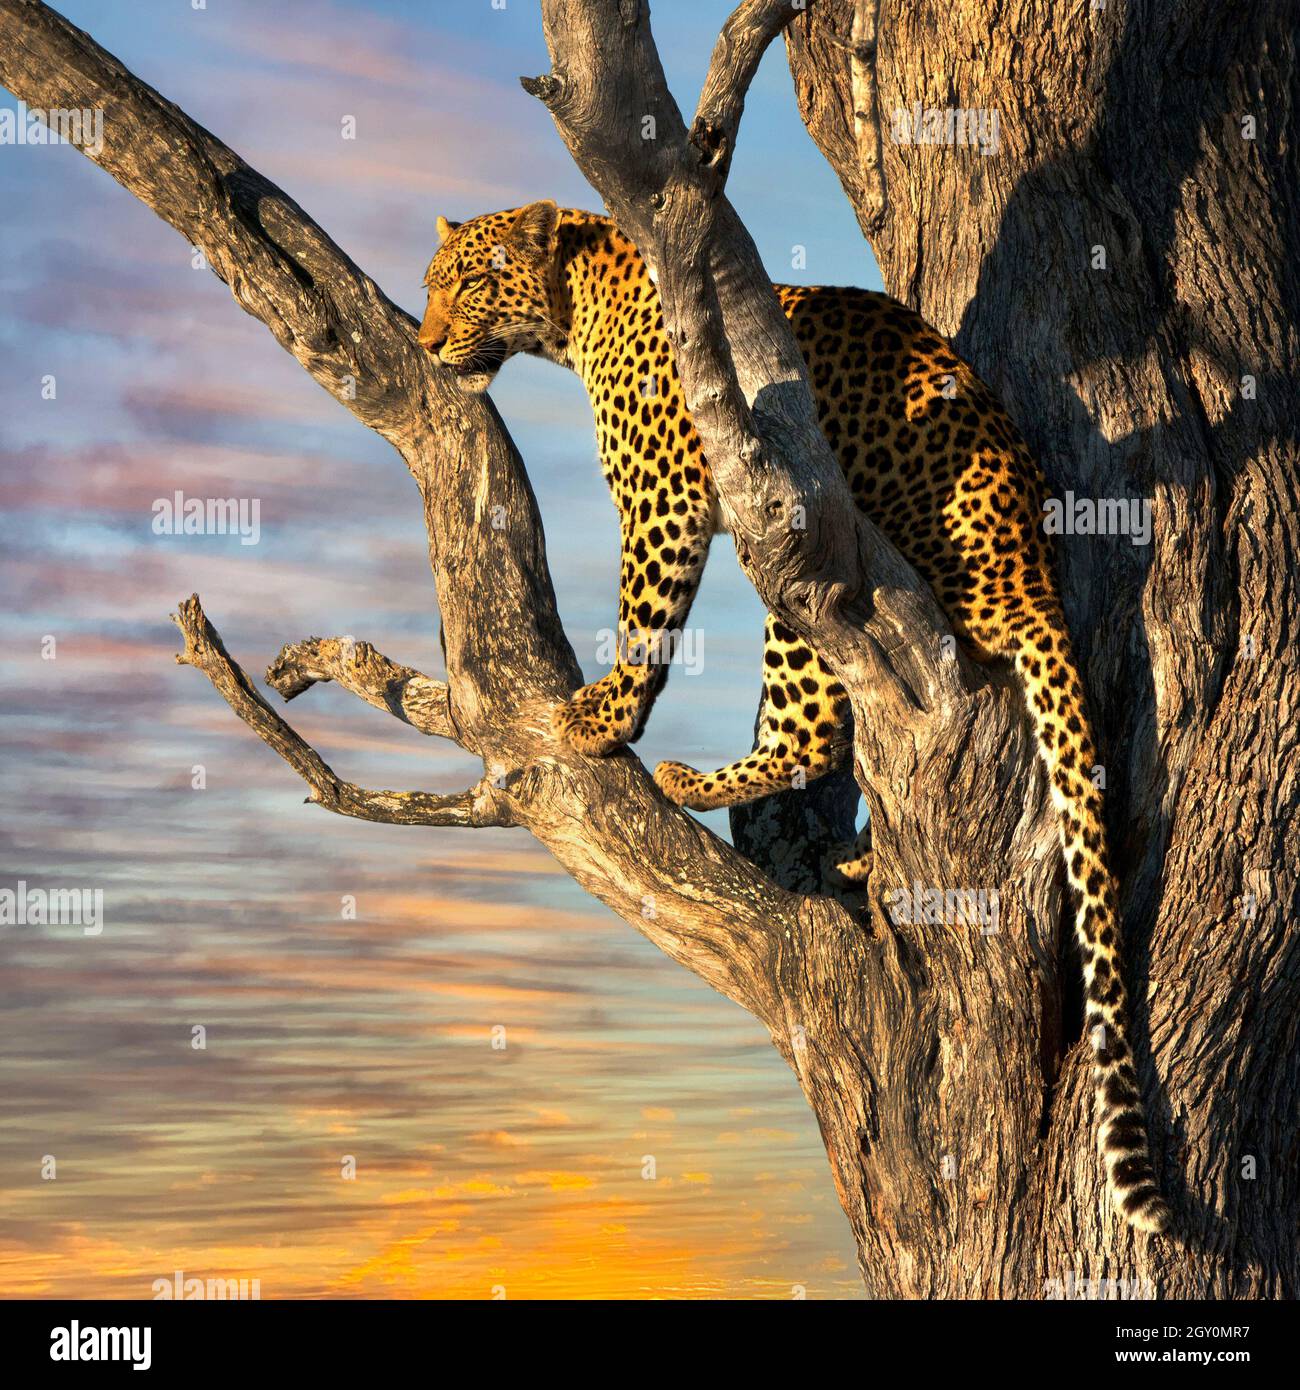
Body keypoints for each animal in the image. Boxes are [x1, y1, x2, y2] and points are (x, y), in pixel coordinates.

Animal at [418, 200, 1172, 1235]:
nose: (426, 342)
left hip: (809, 574)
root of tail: (1033, 581)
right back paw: (848, 856)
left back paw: (701, 782)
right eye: (430, 285)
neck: (577, 310)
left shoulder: (666, 496)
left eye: (473, 282)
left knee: (813, 729)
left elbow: (644, 611)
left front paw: (607, 716)